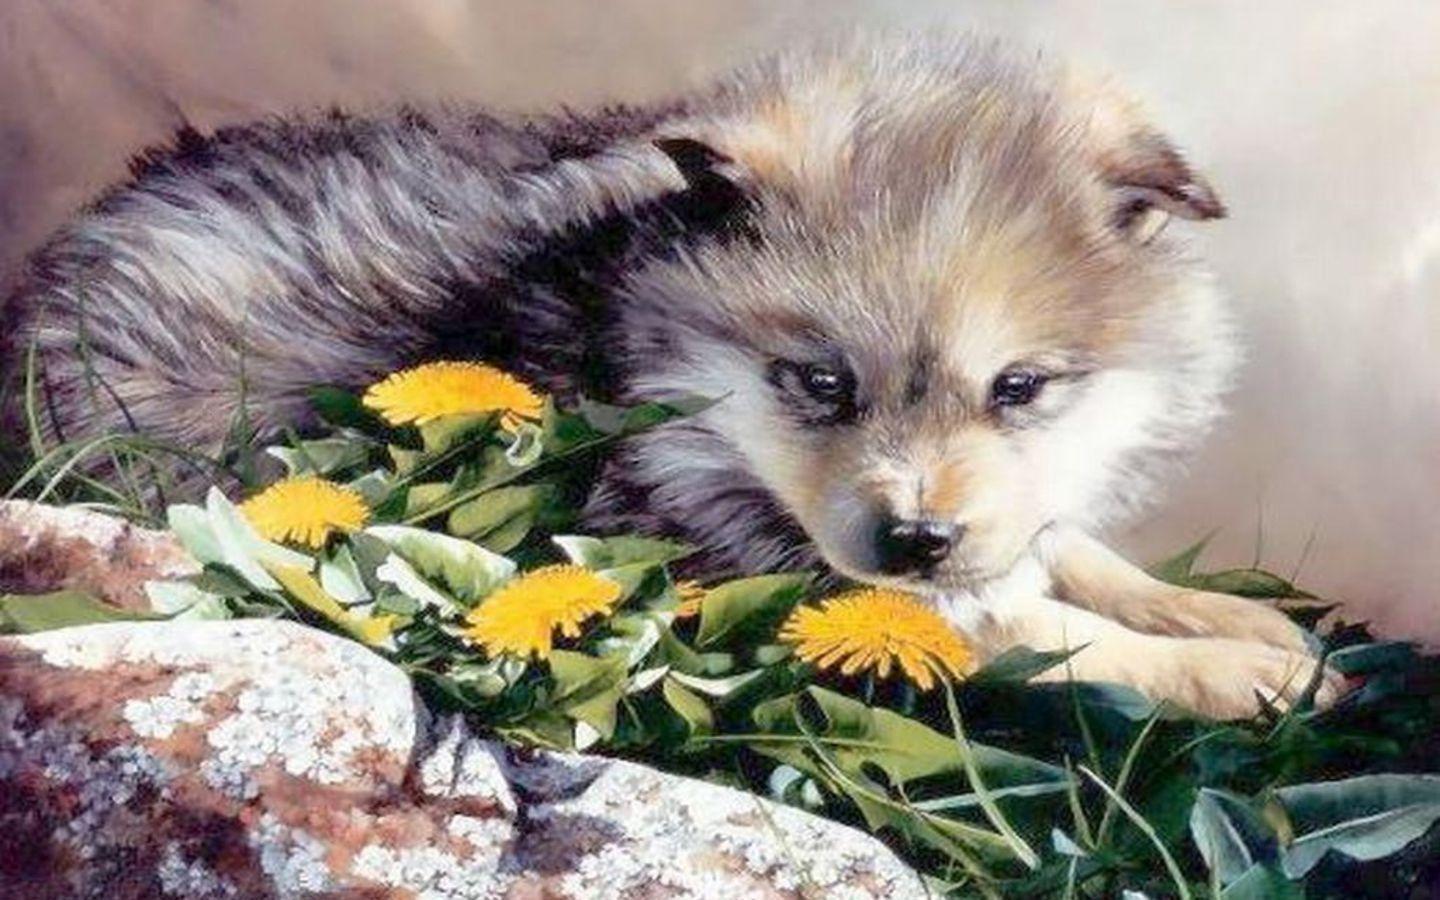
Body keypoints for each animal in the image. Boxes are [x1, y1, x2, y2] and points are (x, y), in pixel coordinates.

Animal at [1, 34, 1342, 718]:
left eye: (1019, 389)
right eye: (819, 383)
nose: (913, 537)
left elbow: (1074, 556)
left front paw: (1229, 617)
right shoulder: (764, 560)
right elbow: (1050, 629)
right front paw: (1248, 671)